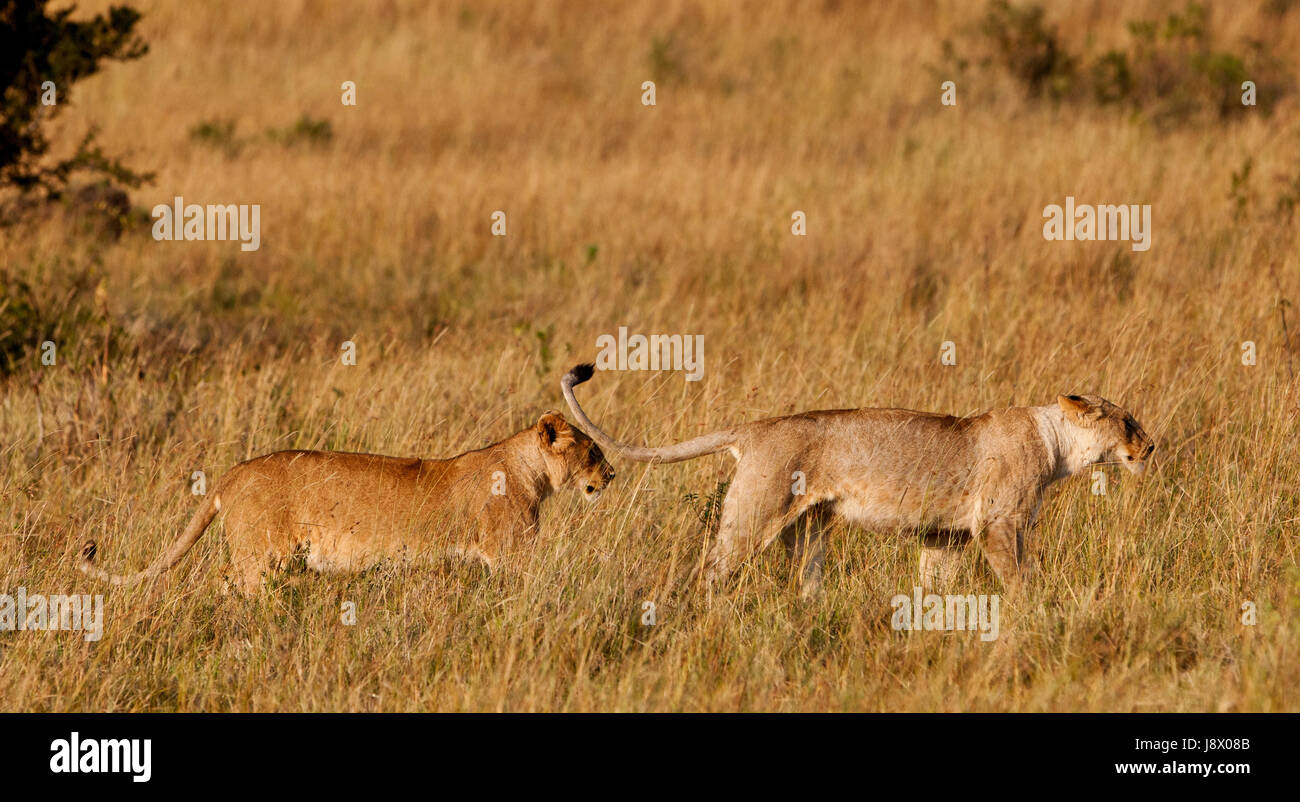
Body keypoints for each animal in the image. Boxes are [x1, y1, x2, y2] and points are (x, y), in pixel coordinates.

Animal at [79, 412, 615, 594]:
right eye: (592, 451)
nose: (611, 474)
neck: (529, 469)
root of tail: (233, 472)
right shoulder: (511, 553)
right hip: (263, 553)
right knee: (235, 579)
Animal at [561, 364, 1152, 598]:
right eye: (1127, 422)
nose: (1151, 446)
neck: (1058, 445)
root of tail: (756, 427)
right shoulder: (998, 525)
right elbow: (1022, 580)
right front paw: (1039, 614)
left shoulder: (946, 537)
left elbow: (933, 583)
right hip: (753, 516)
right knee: (709, 571)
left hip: (809, 527)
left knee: (806, 579)